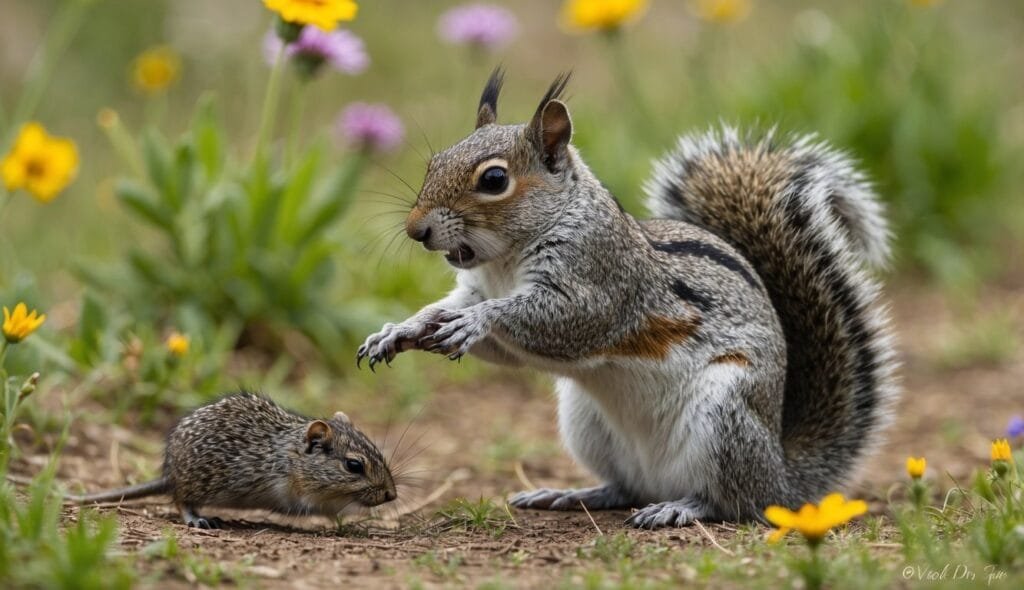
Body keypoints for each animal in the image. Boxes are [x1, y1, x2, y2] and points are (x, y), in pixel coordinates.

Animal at [69, 393, 397, 529]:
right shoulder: (301, 498)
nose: (391, 495)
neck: (291, 456)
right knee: (180, 501)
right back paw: (198, 519)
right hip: (198, 486)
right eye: (354, 466)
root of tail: (169, 475)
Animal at [357, 69, 898, 529]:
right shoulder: (471, 287)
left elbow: (562, 319)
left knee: (734, 501)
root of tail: (784, 476)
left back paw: (682, 507)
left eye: (494, 180)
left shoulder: (605, 285)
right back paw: (574, 494)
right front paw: (398, 331)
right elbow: (445, 312)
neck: (503, 262)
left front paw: (477, 321)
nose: (416, 230)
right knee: (628, 487)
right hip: (586, 422)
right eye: (434, 162)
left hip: (724, 419)